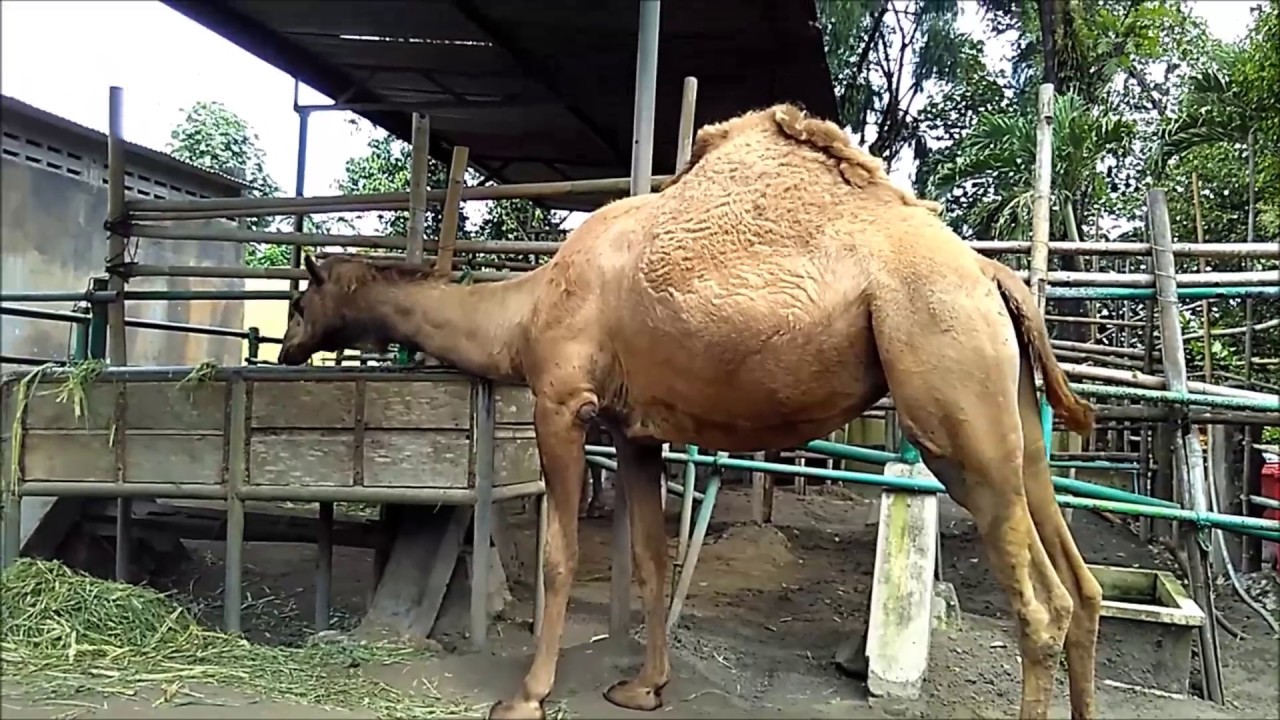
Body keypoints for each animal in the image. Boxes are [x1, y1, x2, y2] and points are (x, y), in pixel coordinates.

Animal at [277, 103, 1103, 720]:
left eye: (299, 300)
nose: (286, 351)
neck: (526, 309)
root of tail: (994, 274)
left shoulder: (560, 401)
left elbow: (560, 555)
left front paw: (526, 696)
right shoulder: (633, 430)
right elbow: (650, 557)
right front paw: (644, 687)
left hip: (950, 395)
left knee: (1041, 606)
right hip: (1011, 414)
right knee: (1082, 586)